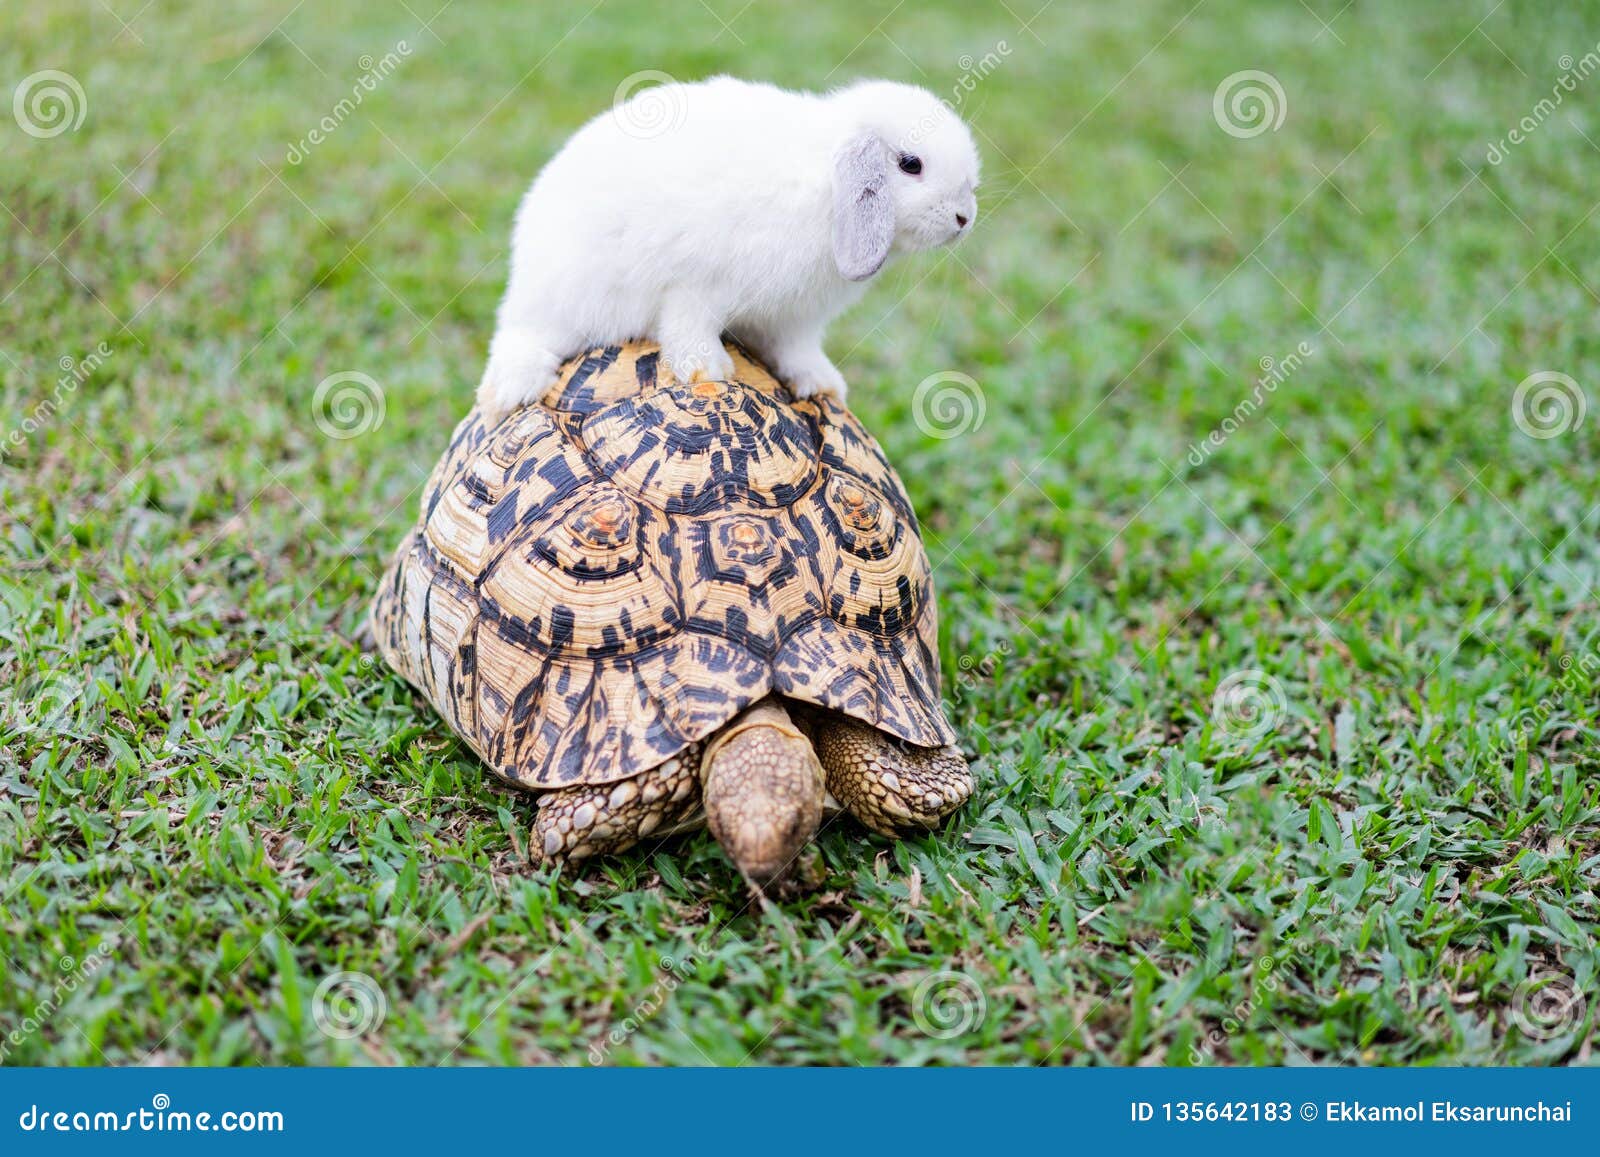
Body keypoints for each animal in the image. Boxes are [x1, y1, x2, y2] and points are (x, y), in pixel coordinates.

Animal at [476, 76, 980, 417]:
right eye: (910, 164)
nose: (964, 218)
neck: (826, 188)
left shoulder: (793, 320)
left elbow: (797, 352)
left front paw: (823, 385)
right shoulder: (696, 286)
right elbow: (686, 328)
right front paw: (711, 371)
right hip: (568, 301)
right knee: (518, 337)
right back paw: (511, 391)